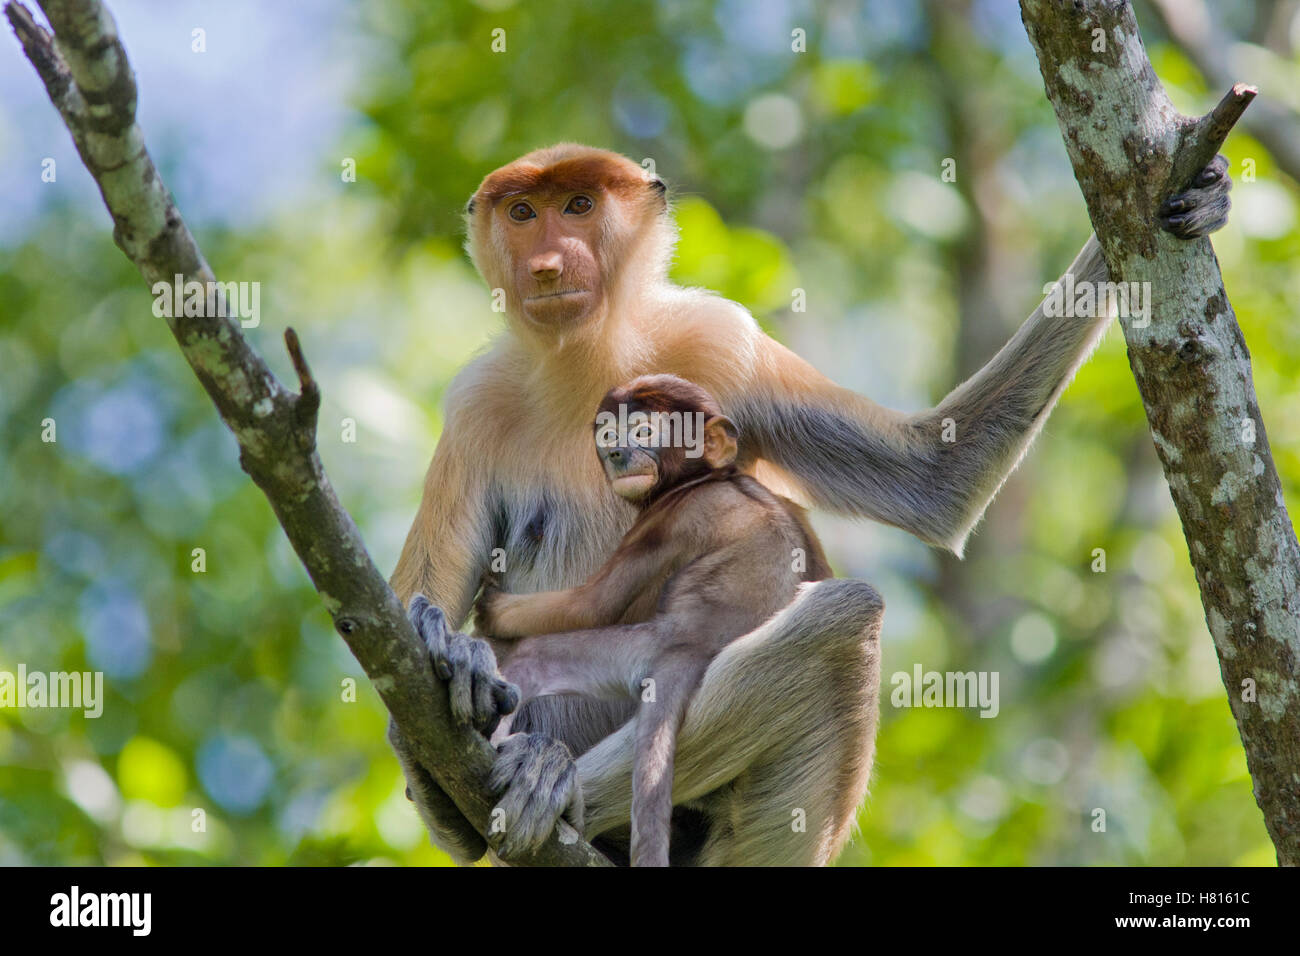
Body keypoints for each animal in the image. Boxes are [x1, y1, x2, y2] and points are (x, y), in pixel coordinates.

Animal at [472, 374, 833, 865]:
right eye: (608, 435)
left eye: (643, 432)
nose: (618, 454)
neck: (710, 477)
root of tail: (697, 646)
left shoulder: (669, 517)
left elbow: (594, 604)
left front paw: (491, 608)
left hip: (643, 648)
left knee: (535, 660)